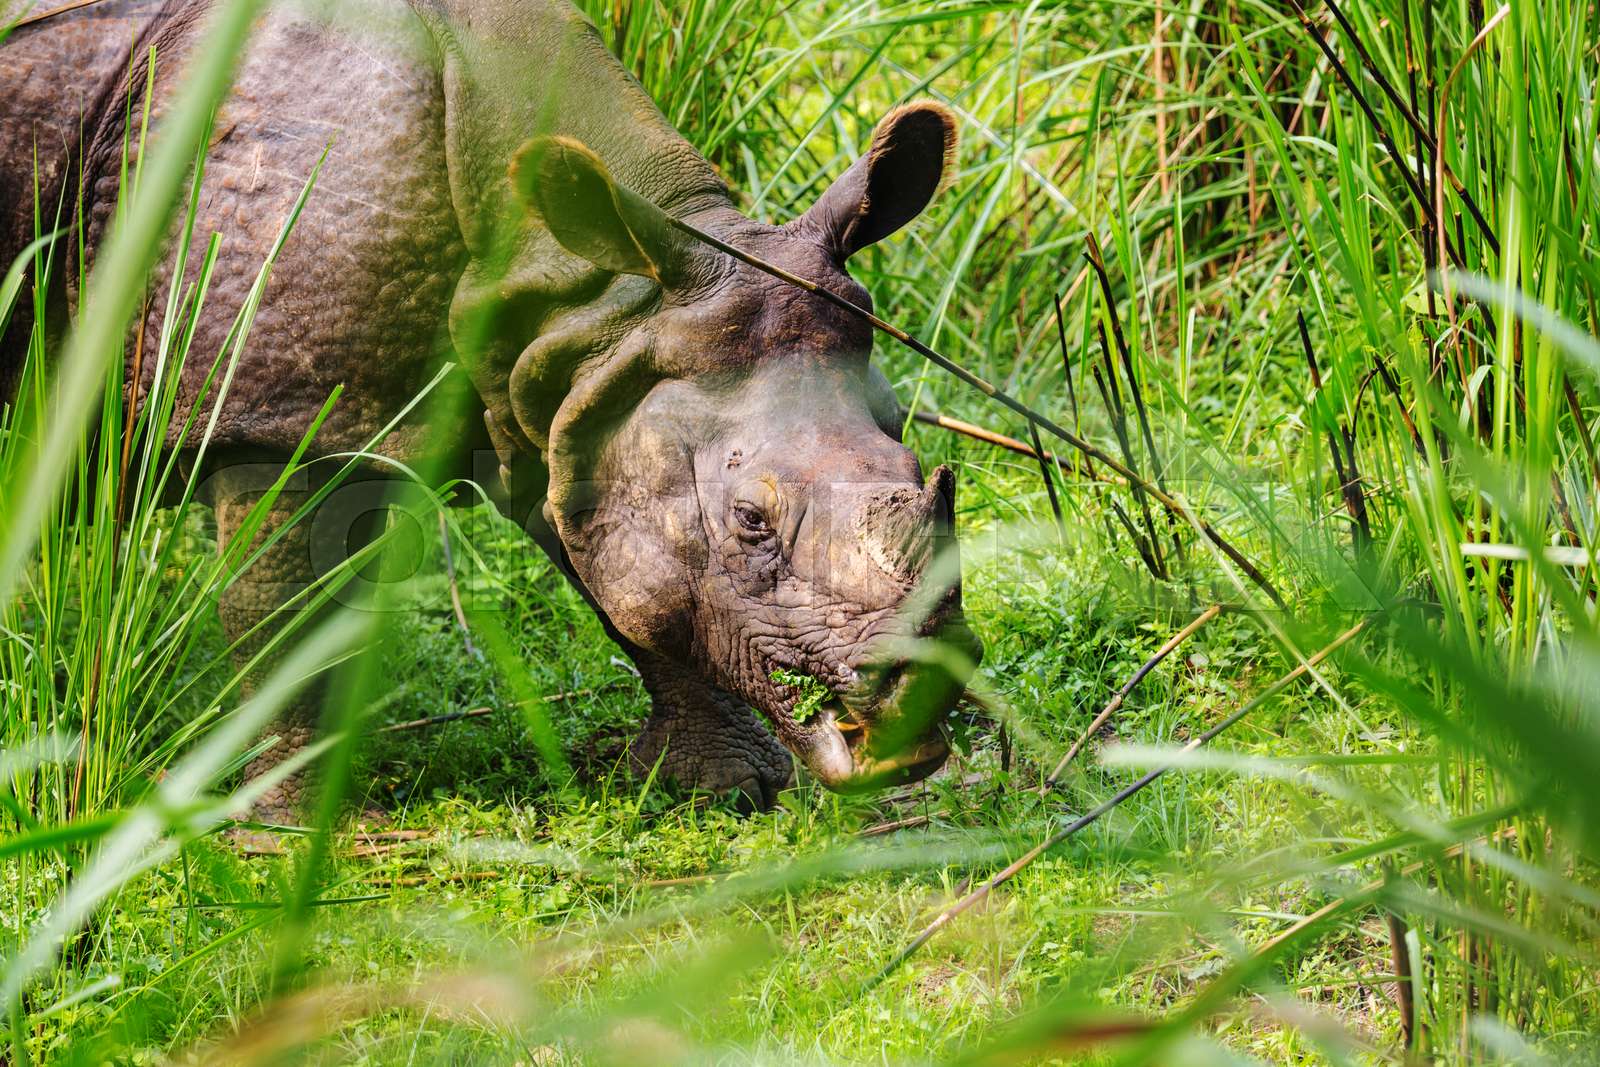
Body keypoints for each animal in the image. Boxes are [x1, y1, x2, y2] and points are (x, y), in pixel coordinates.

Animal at [1, 0, 981, 816]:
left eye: (918, 464)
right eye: (749, 520)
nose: (918, 701)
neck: (587, 286)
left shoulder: (576, 380)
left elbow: (619, 572)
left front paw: (723, 790)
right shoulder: (271, 413)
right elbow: (284, 623)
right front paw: (292, 828)